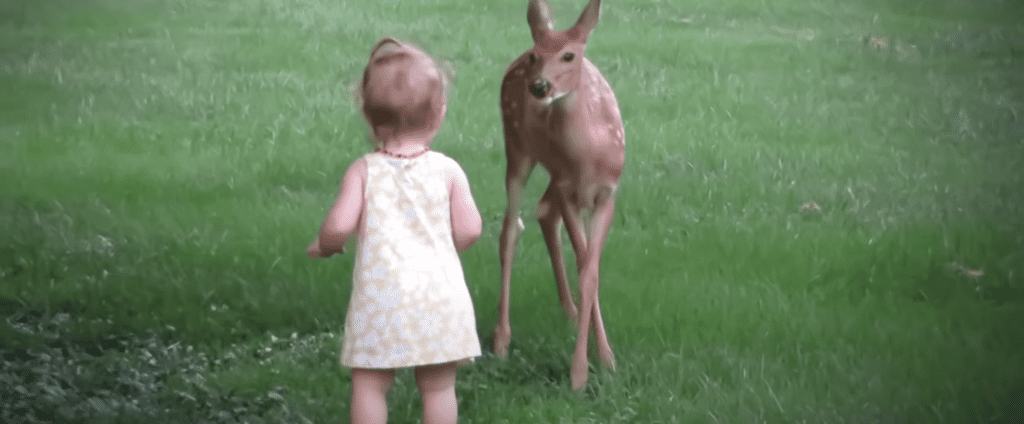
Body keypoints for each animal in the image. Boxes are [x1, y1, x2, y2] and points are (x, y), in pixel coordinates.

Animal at [495, 0, 625, 390]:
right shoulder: (571, 193)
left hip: (552, 173)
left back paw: (569, 310)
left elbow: (591, 270)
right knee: (510, 230)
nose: (539, 86)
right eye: (537, 56)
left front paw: (606, 360)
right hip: (517, 148)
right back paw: (501, 339)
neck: (590, 156)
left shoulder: (607, 195)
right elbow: (585, 267)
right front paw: (580, 373)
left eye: (569, 55)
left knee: (542, 212)